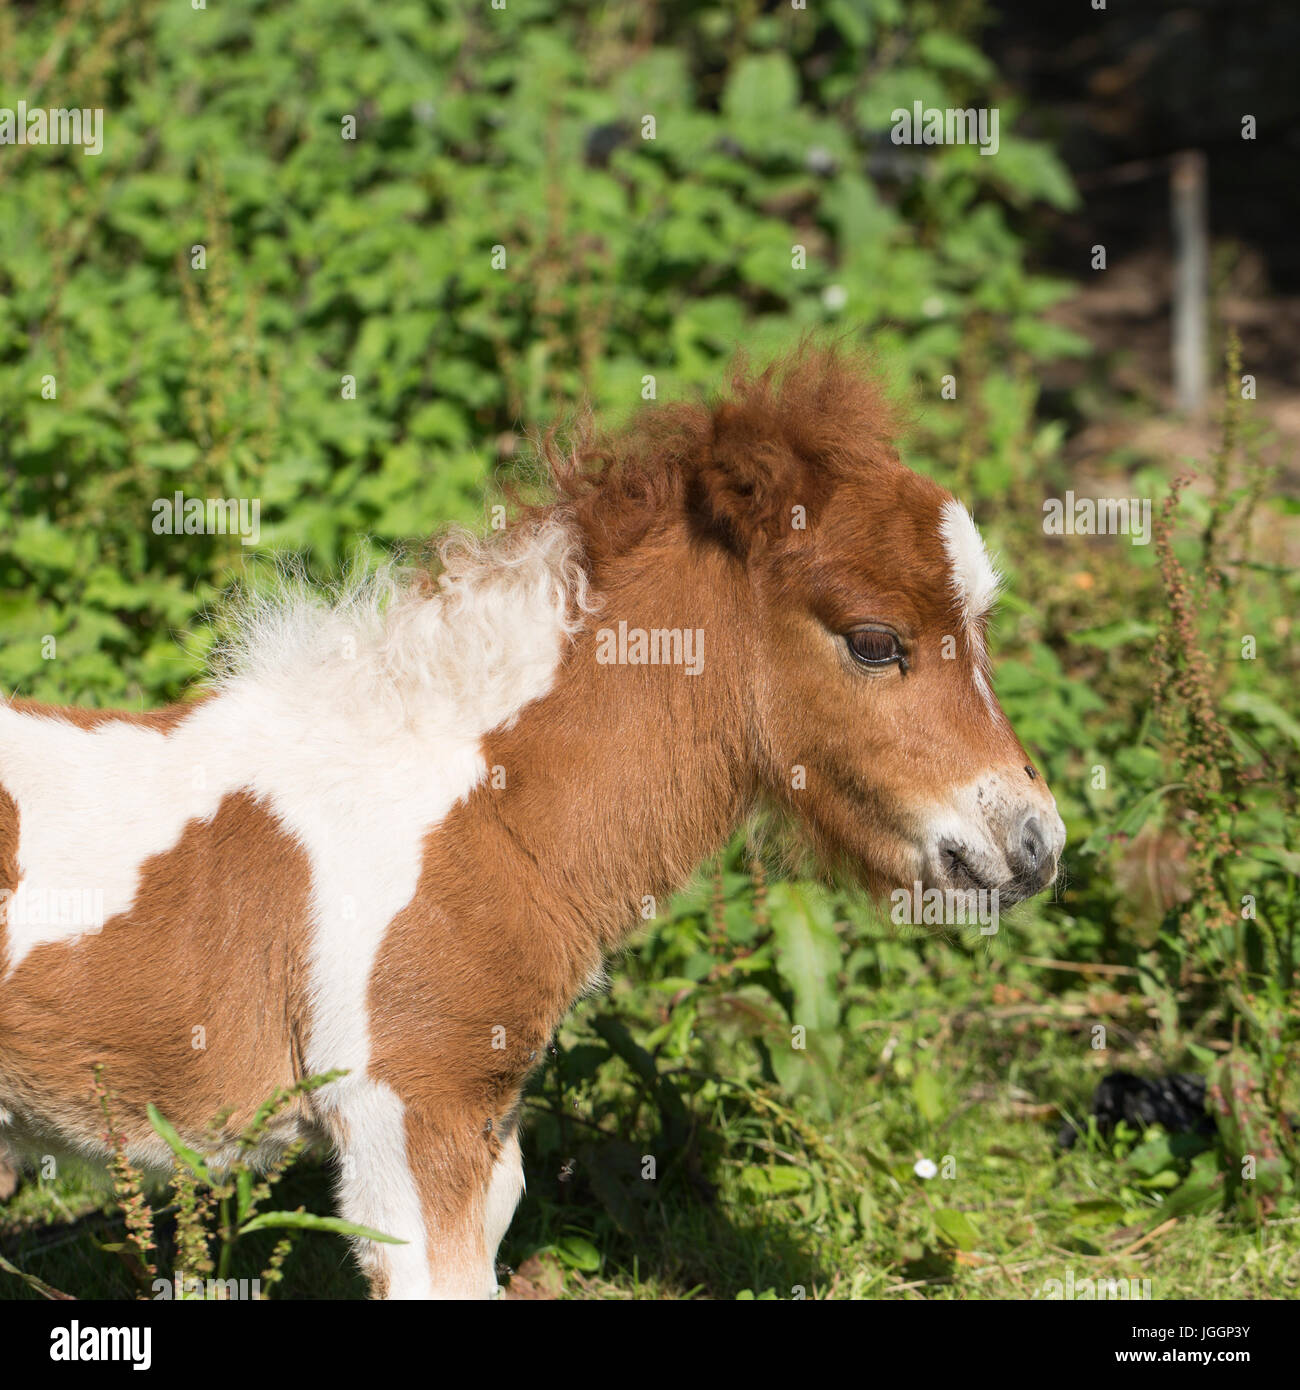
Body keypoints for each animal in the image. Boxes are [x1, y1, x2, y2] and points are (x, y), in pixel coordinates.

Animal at [0, 345, 1065, 1298]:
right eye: (875, 642)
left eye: (980, 627)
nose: (1035, 843)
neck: (481, 812)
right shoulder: (404, 1119)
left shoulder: (483, 1129)